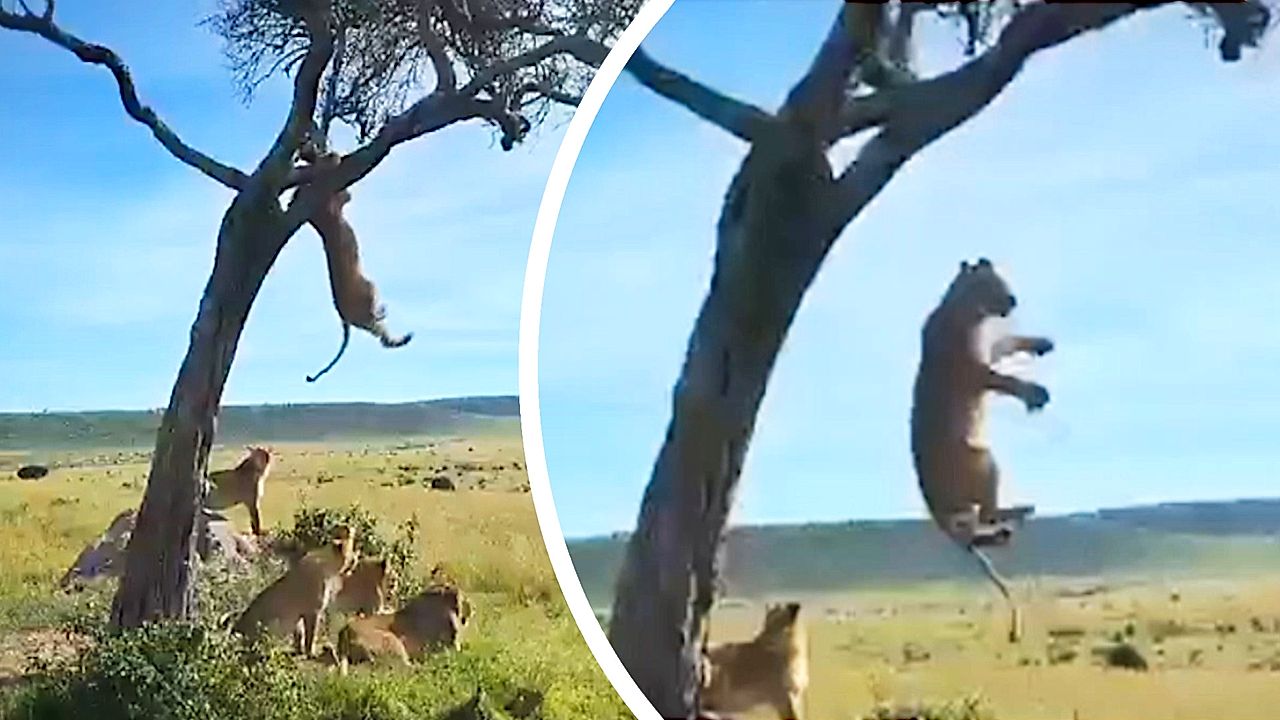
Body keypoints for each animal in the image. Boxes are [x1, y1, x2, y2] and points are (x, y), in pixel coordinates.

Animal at [231, 525, 357, 657]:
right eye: (352, 551)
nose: (356, 559)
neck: (329, 564)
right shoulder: (312, 611)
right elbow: (310, 635)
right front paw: (310, 652)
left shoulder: (299, 615)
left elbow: (299, 633)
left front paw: (299, 650)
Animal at [298, 145, 412, 383]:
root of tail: (343, 315)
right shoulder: (337, 195)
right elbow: (342, 188)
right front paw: (330, 157)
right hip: (368, 288)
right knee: (376, 323)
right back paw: (383, 313)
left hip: (365, 315)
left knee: (381, 336)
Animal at [910, 257, 1053, 642]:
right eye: (993, 282)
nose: (1013, 300)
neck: (965, 311)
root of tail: (934, 506)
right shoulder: (975, 371)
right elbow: (1005, 380)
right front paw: (1035, 393)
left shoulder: (988, 352)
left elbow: (1006, 342)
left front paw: (1041, 343)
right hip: (985, 462)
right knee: (986, 516)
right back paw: (1020, 512)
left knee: (978, 531)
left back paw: (1009, 529)